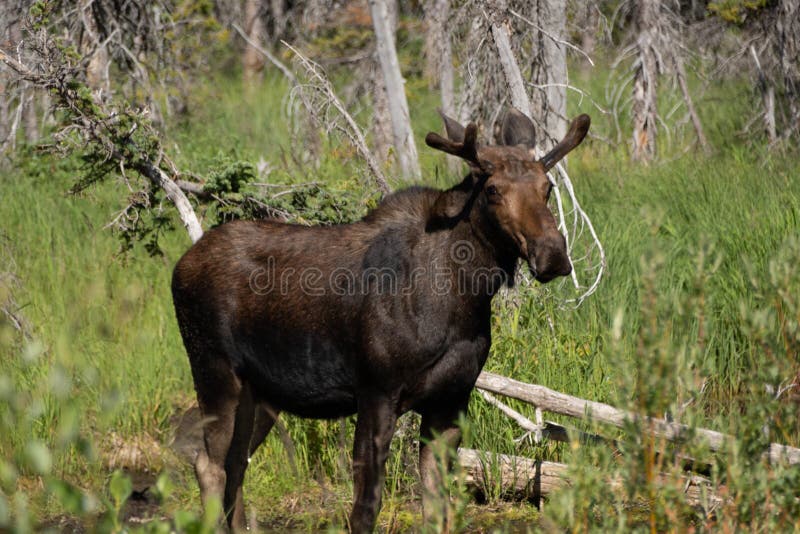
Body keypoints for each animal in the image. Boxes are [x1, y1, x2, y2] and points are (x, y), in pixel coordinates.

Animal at [171, 109, 590, 532]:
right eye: (492, 190)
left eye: (548, 186)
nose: (552, 254)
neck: (464, 296)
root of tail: (180, 266)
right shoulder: (376, 392)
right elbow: (365, 509)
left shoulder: (451, 401)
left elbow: (438, 508)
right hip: (214, 372)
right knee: (209, 464)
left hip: (261, 393)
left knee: (236, 465)